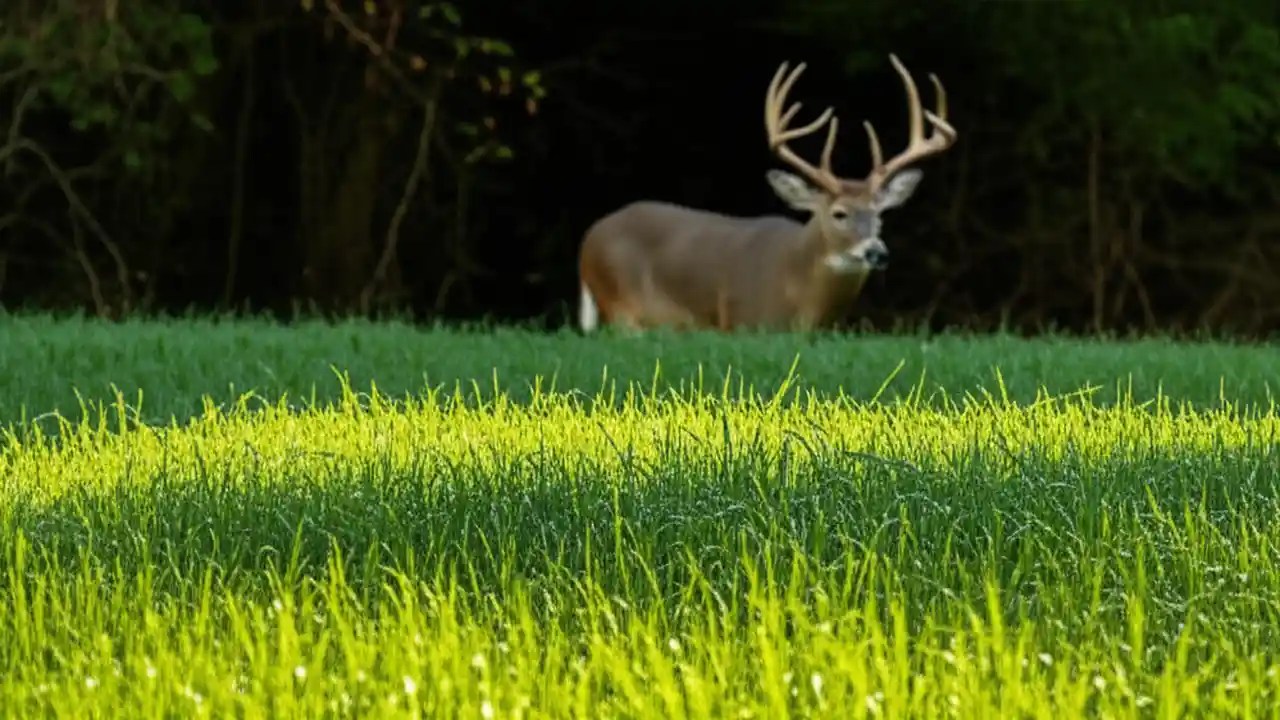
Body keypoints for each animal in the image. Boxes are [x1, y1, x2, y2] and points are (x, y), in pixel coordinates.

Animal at [575, 53, 956, 333]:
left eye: (880, 215)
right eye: (839, 213)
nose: (876, 252)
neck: (800, 298)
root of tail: (590, 237)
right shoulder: (742, 321)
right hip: (621, 304)